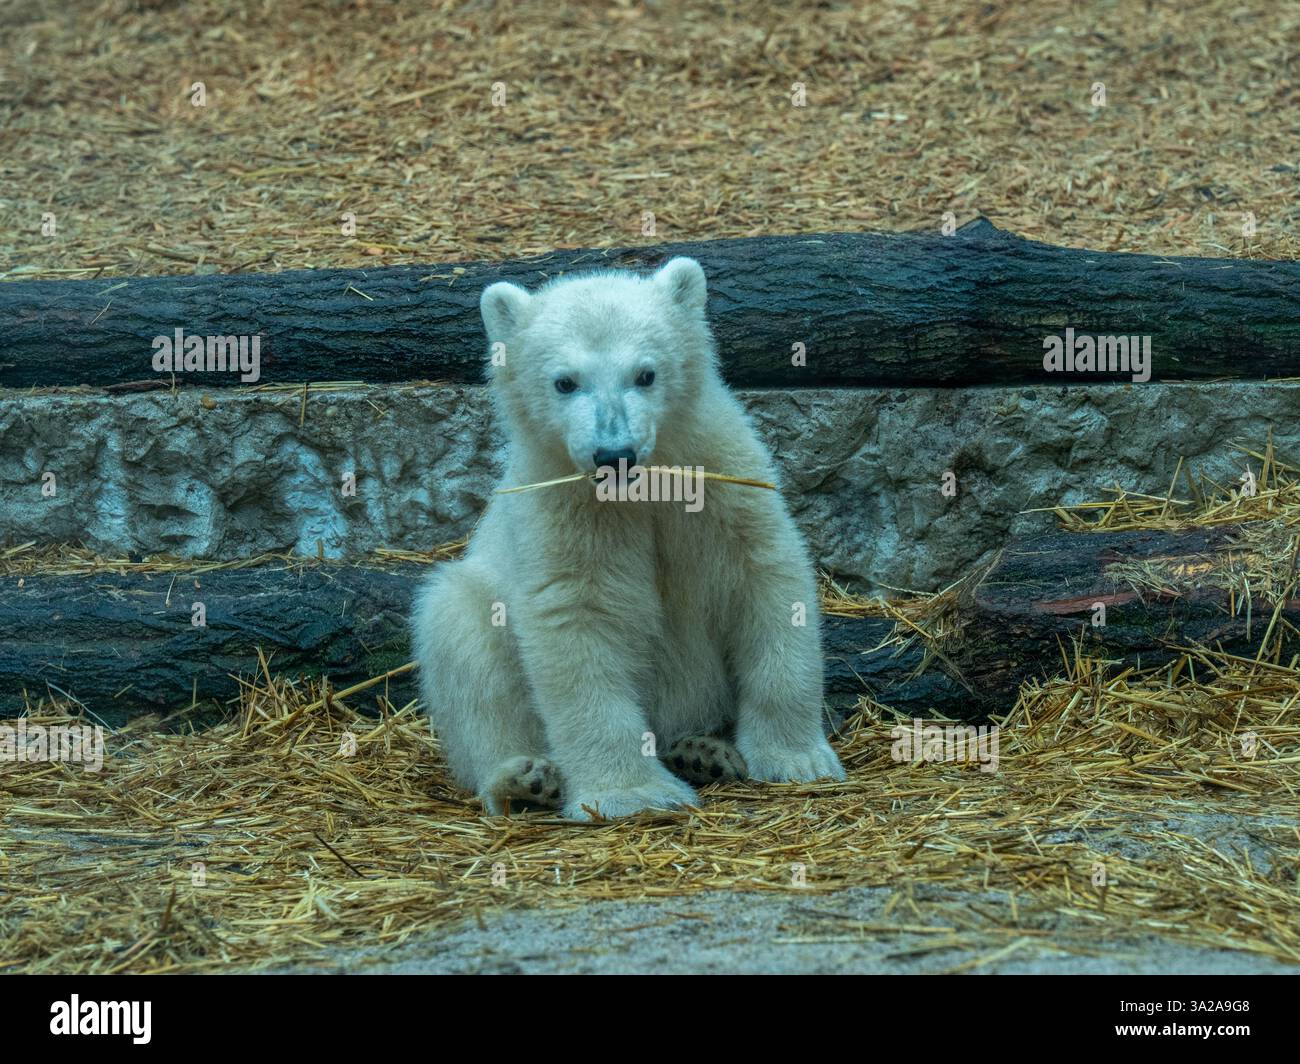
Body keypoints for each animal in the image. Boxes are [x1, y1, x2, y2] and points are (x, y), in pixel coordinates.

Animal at [410, 257, 845, 820]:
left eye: (646, 374)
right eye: (564, 382)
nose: (613, 454)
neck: (639, 491)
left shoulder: (721, 480)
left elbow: (764, 579)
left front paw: (797, 758)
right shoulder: (563, 512)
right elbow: (577, 617)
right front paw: (632, 793)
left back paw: (703, 751)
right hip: (475, 602)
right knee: (462, 640)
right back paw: (522, 780)